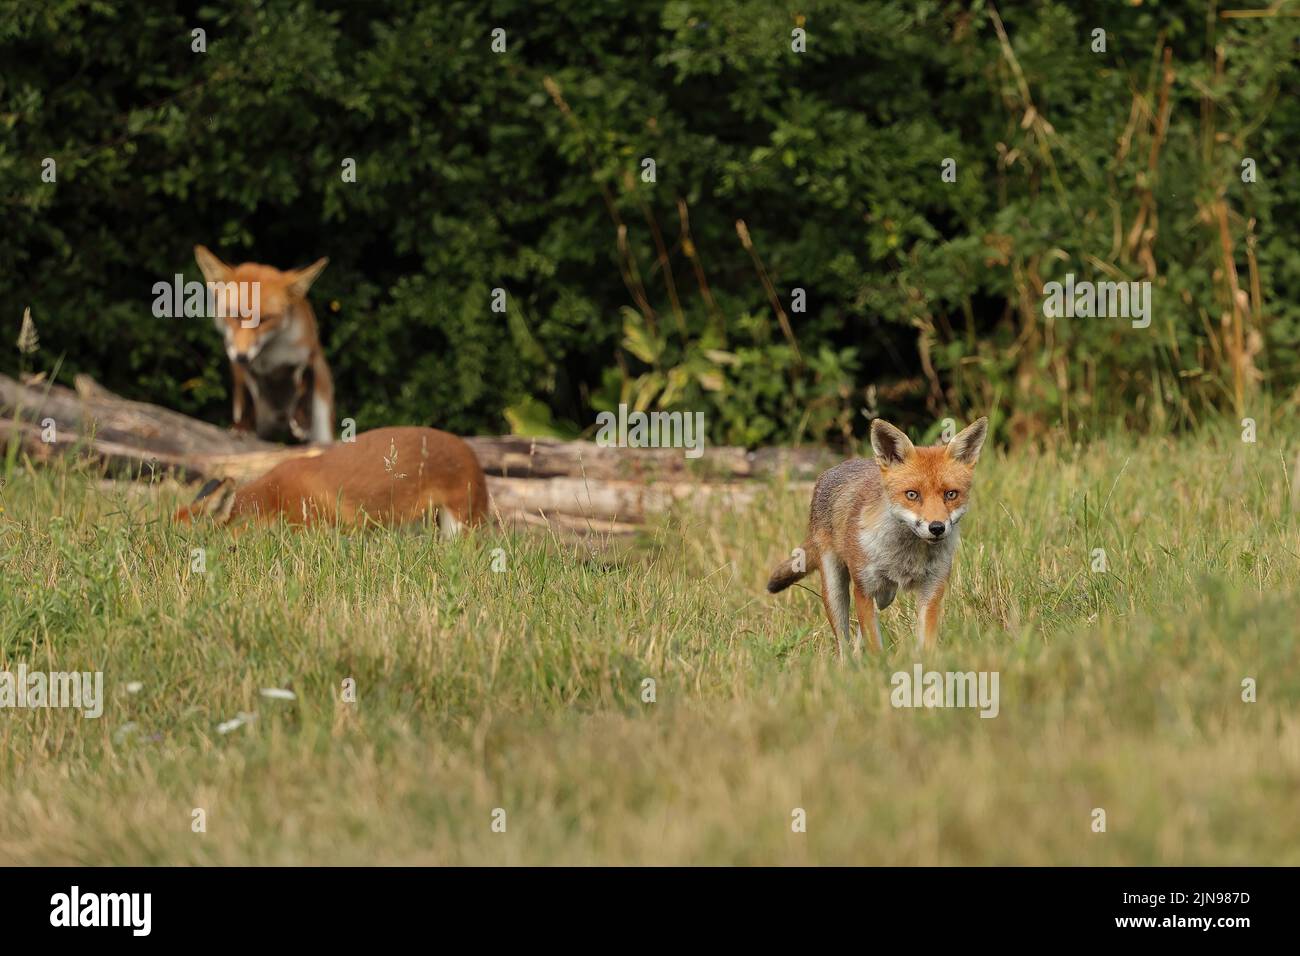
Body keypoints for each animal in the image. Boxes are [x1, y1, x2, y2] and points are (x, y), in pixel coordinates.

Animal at [194, 244, 335, 444]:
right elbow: (248, 401)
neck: (270, 356)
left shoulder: (308, 354)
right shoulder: (240, 365)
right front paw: (242, 426)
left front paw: (302, 421)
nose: (242, 355)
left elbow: (305, 385)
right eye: (235, 316)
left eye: (265, 320)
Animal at [766, 416, 989, 656]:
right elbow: (874, 645)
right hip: (836, 590)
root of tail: (839, 466)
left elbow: (925, 643)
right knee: (843, 643)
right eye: (912, 494)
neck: (905, 557)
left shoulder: (932, 589)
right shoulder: (863, 588)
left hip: (885, 596)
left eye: (951, 494)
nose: (937, 527)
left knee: (858, 636)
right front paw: (877, 665)